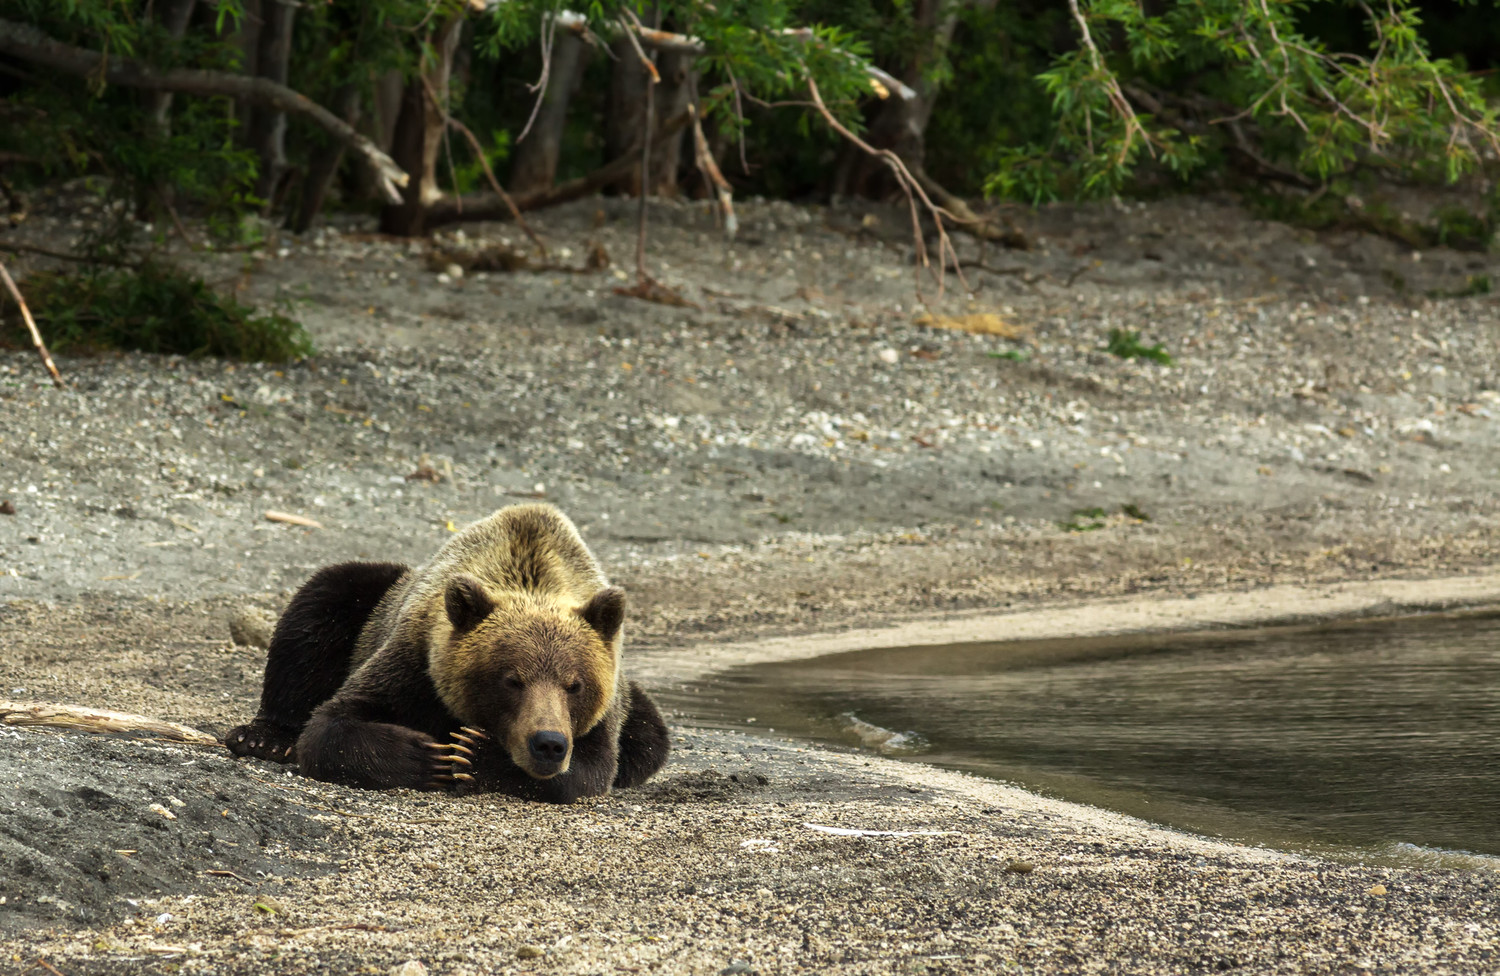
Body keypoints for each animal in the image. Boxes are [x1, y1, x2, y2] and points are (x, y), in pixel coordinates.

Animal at [223, 503, 669, 803]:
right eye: (512, 680)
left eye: (574, 685)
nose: (548, 743)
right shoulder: (416, 662)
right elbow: (332, 726)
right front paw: (429, 755)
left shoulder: (605, 712)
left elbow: (591, 770)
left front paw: (475, 754)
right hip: (371, 601)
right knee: (323, 601)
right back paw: (264, 737)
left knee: (650, 737)